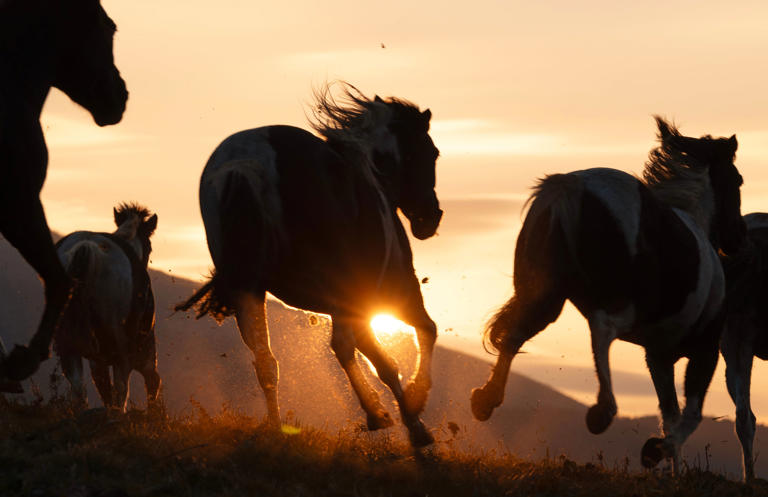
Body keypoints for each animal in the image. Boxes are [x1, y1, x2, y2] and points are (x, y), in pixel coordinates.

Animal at [54, 203, 159, 411]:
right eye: (149, 247)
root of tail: (86, 248)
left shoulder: (97, 360)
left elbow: (103, 387)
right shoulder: (144, 352)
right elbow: (150, 383)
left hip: (68, 346)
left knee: (79, 389)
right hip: (121, 350)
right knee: (121, 390)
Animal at [176, 84, 442, 447]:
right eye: (431, 153)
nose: (431, 218)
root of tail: (246, 163)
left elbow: (375, 353)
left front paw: (393, 413)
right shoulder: (393, 292)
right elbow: (416, 337)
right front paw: (414, 413)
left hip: (249, 289)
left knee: (266, 361)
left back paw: (277, 429)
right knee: (345, 347)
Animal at [470, 117, 746, 472]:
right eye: (737, 180)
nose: (738, 237)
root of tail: (569, 186)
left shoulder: (658, 355)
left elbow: (670, 414)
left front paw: (672, 468)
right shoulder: (704, 348)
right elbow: (691, 415)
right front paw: (656, 451)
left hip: (545, 296)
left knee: (515, 336)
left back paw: (485, 399)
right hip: (618, 305)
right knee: (601, 329)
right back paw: (602, 411)